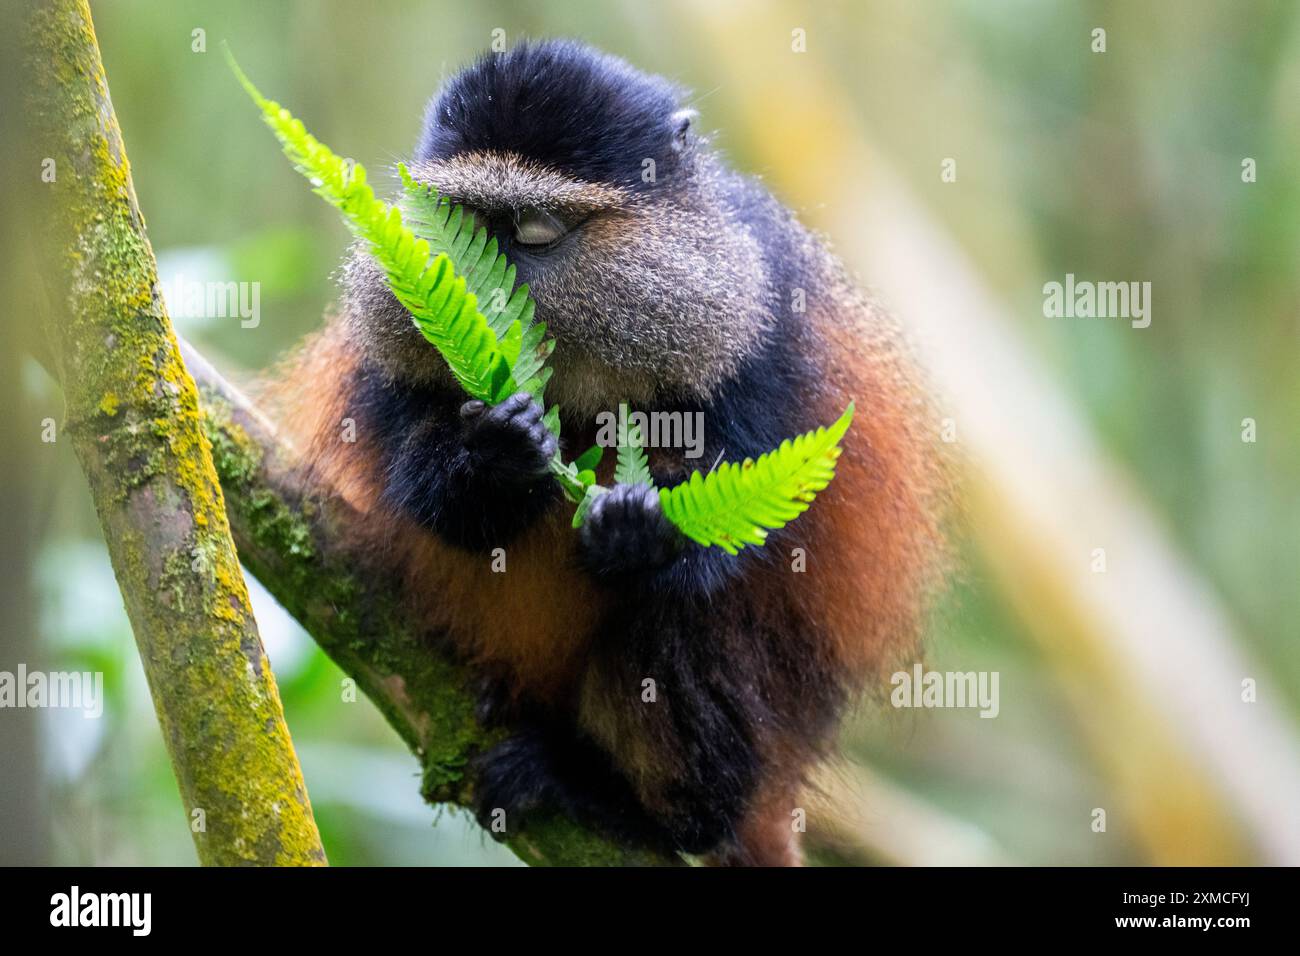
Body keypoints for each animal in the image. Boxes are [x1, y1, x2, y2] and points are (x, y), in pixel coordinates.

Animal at [269, 39, 948, 866]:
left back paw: (631, 804)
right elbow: (438, 511)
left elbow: (757, 532)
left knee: (676, 621)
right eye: (460, 223)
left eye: (532, 230)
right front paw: (498, 453)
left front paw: (636, 530)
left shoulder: (772, 335)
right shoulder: (393, 354)